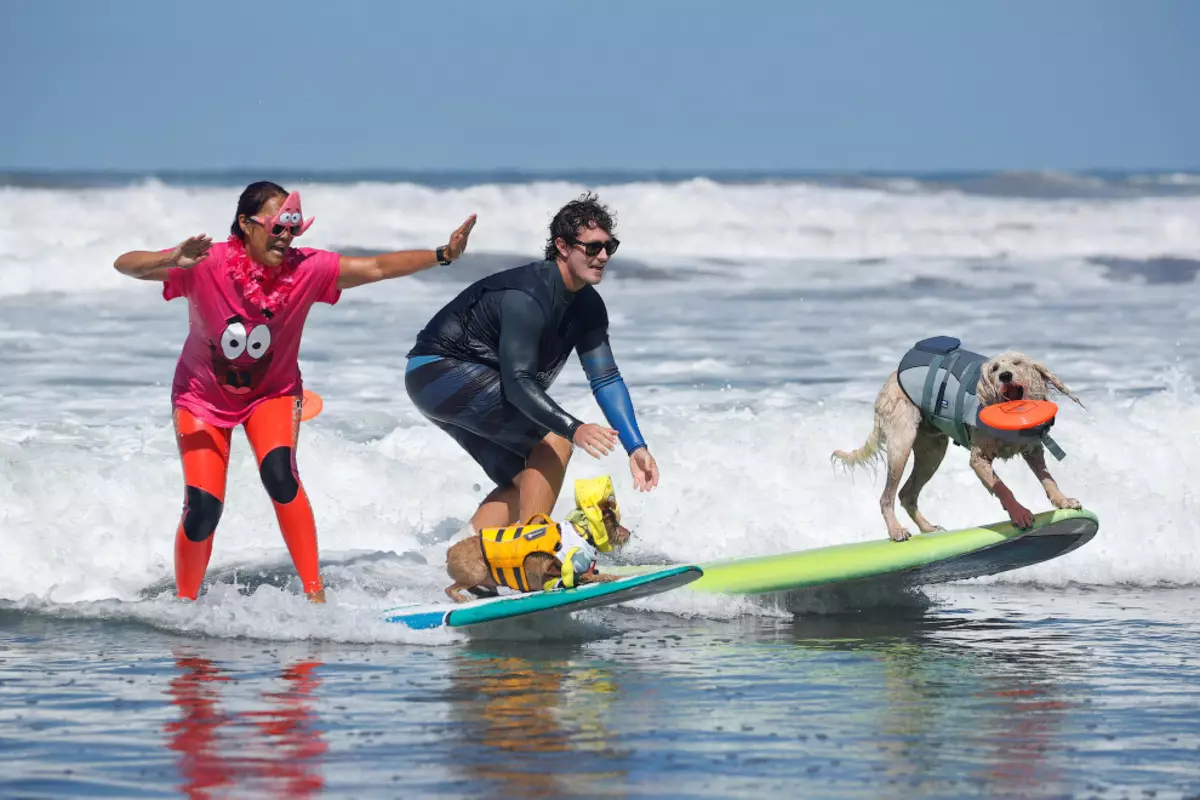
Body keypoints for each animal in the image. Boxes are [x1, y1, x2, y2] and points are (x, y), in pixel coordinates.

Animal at [446, 474, 633, 599]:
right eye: (616, 523)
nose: (629, 532)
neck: (583, 532)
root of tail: (450, 551)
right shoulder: (558, 569)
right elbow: (589, 575)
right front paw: (612, 577)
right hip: (477, 571)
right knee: (450, 589)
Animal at [835, 340, 1089, 542]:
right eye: (995, 369)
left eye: (1017, 363)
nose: (1005, 376)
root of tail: (891, 378)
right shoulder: (979, 459)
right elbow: (1003, 487)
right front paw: (1019, 513)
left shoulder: (1033, 449)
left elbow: (1048, 479)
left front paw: (1063, 501)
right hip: (901, 443)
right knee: (886, 496)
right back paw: (896, 530)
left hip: (933, 451)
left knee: (907, 493)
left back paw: (928, 528)